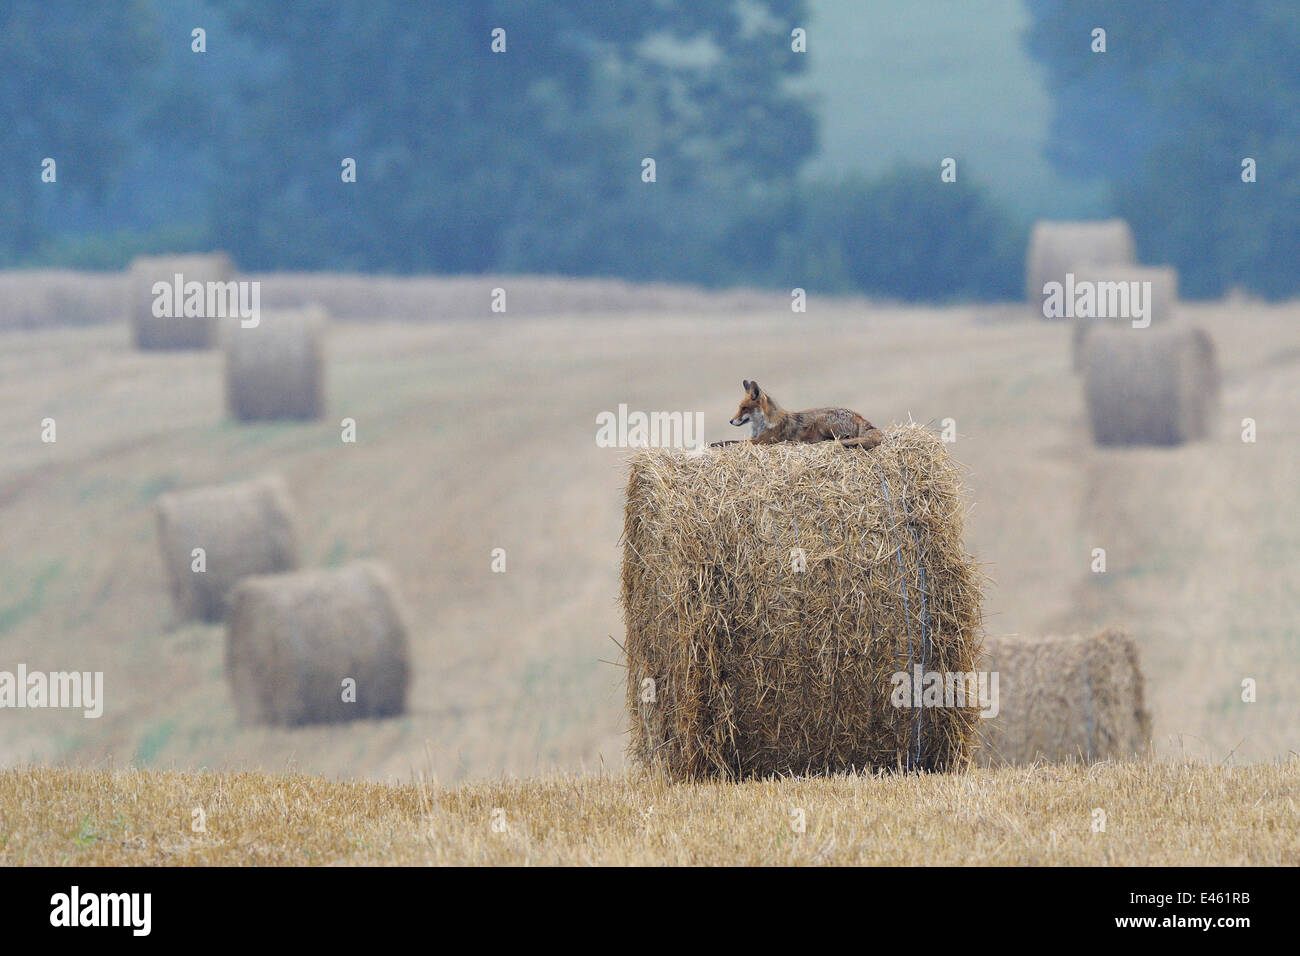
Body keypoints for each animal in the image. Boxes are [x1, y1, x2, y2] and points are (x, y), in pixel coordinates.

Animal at [712, 380, 884, 450]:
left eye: (744, 408)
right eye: (740, 407)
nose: (731, 421)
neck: (761, 426)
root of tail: (858, 415)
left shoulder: (761, 441)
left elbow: (733, 442)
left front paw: (717, 444)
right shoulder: (755, 439)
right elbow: (729, 441)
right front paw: (715, 443)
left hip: (822, 423)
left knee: (843, 438)